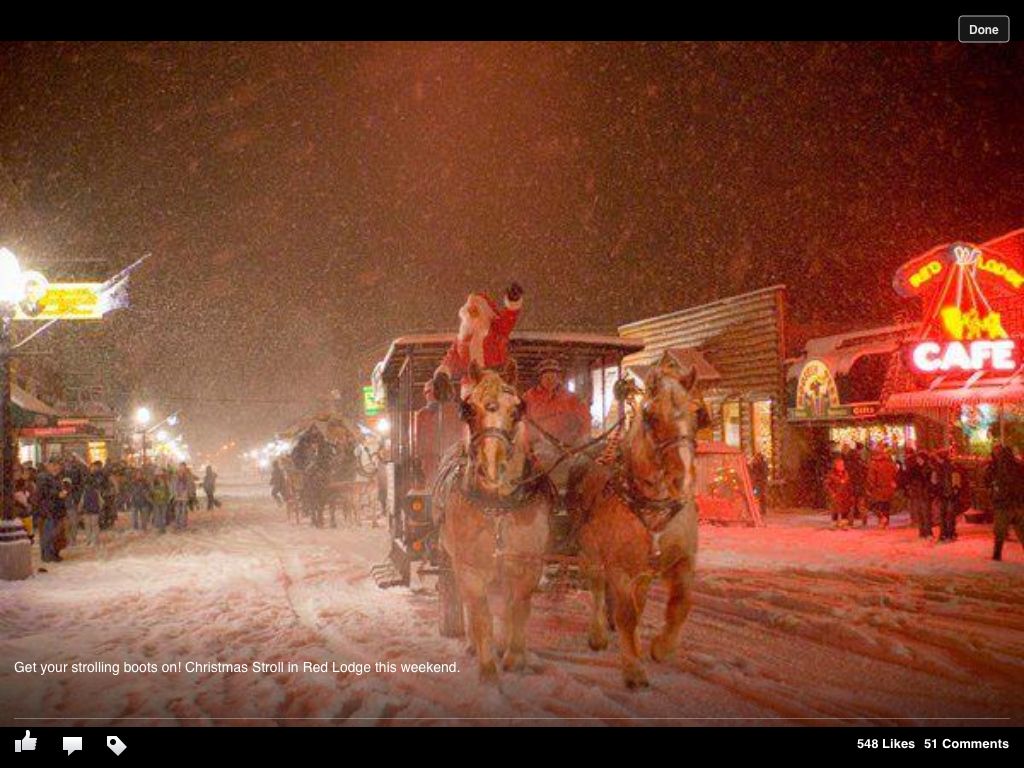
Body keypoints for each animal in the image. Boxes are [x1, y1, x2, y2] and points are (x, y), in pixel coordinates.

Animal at [438, 362, 552, 684]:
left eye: (517, 408)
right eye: (467, 409)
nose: (493, 469)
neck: (498, 506)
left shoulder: (527, 564)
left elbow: (519, 609)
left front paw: (514, 658)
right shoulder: (470, 569)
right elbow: (481, 616)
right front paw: (488, 669)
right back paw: (472, 644)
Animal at [569, 352, 704, 688]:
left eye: (697, 416)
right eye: (651, 417)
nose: (682, 480)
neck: (653, 504)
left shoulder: (682, 559)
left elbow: (681, 604)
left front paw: (660, 647)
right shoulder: (619, 567)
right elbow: (626, 613)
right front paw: (632, 668)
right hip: (590, 552)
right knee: (596, 586)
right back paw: (598, 634)